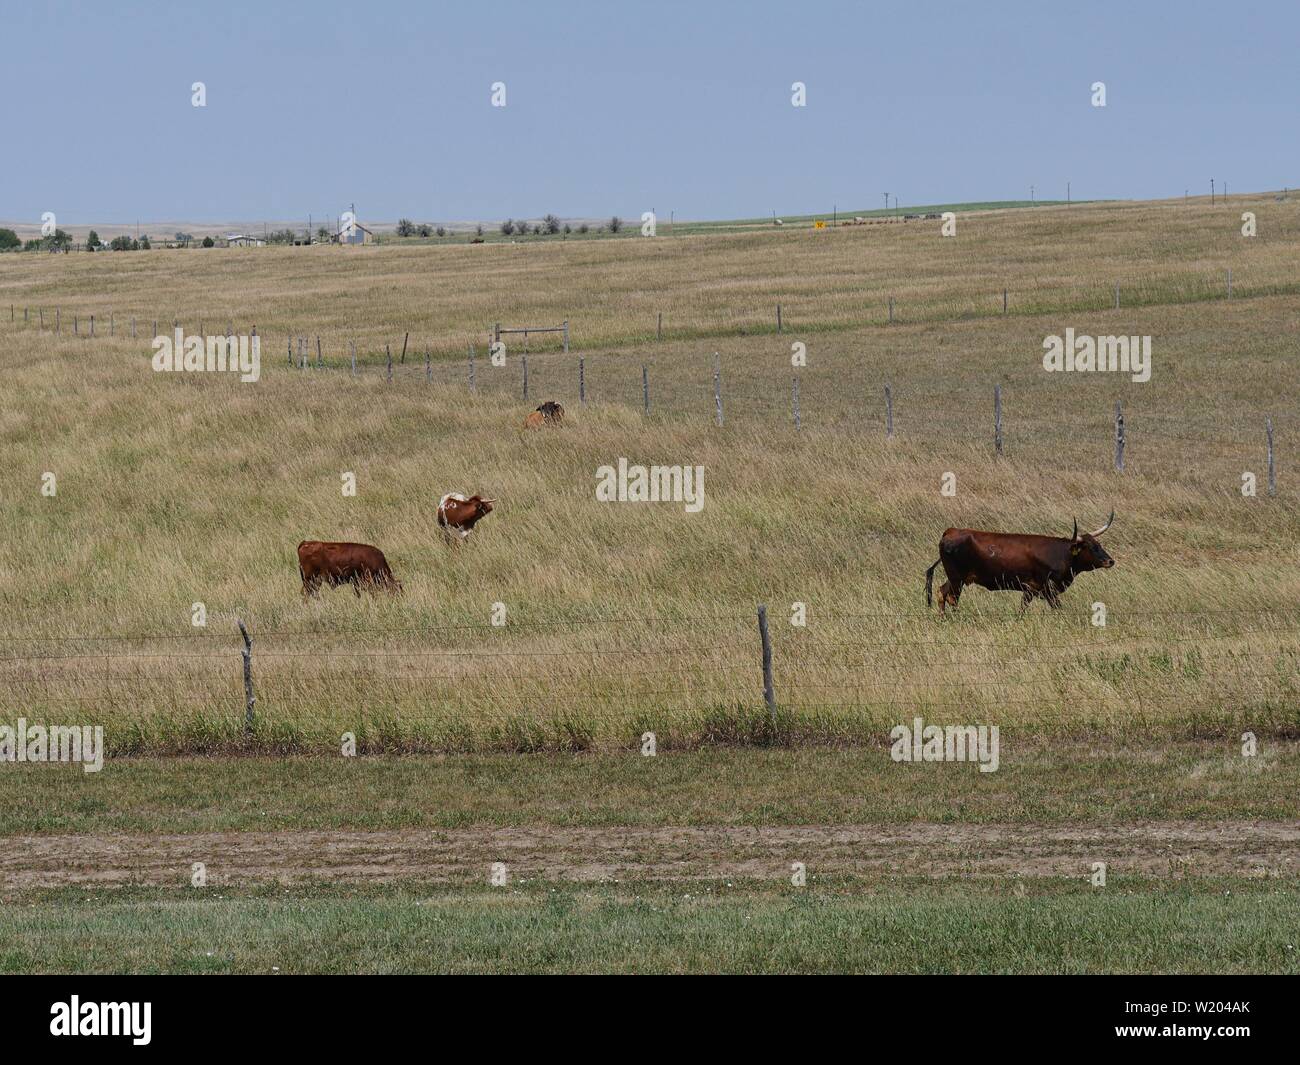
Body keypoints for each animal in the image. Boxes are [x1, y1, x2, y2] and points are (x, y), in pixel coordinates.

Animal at [924, 512, 1115, 614]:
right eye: (1090, 547)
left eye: (1099, 545)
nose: (1110, 561)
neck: (1063, 553)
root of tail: (951, 531)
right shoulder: (1046, 588)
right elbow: (1057, 608)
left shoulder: (1030, 590)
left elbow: (1022, 608)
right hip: (957, 578)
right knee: (951, 598)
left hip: (955, 578)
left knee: (942, 592)